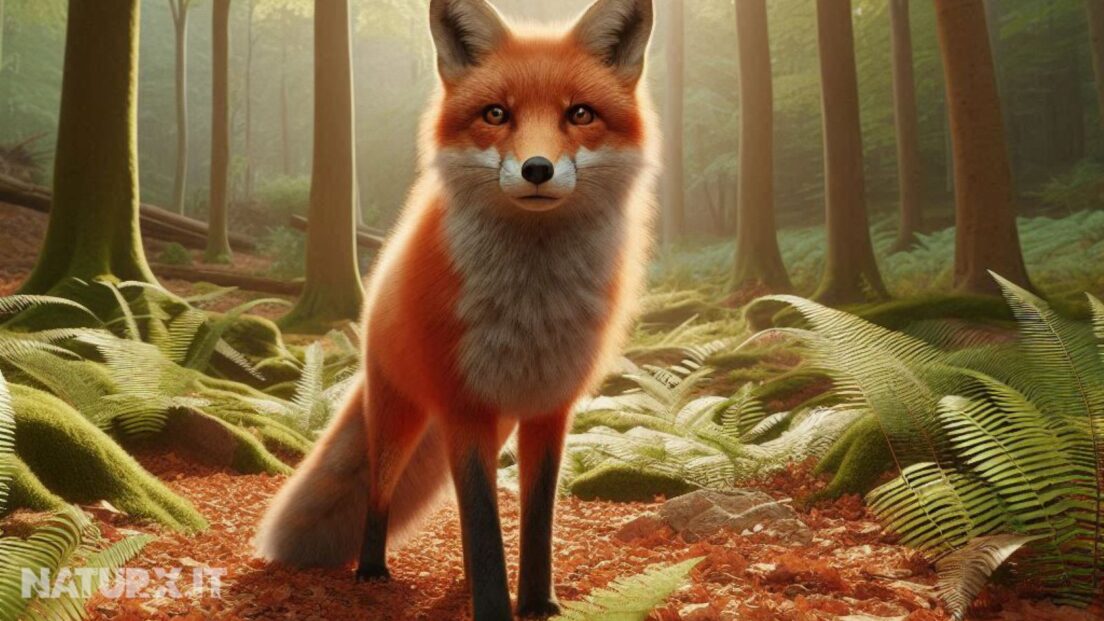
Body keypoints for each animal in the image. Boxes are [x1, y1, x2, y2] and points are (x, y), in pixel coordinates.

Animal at [254, 0, 658, 618]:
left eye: (580, 114)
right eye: (496, 113)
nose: (536, 169)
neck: (531, 305)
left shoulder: (549, 409)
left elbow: (534, 520)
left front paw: (538, 603)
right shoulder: (463, 405)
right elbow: (485, 526)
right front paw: (493, 606)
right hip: (400, 419)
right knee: (380, 492)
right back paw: (372, 569)